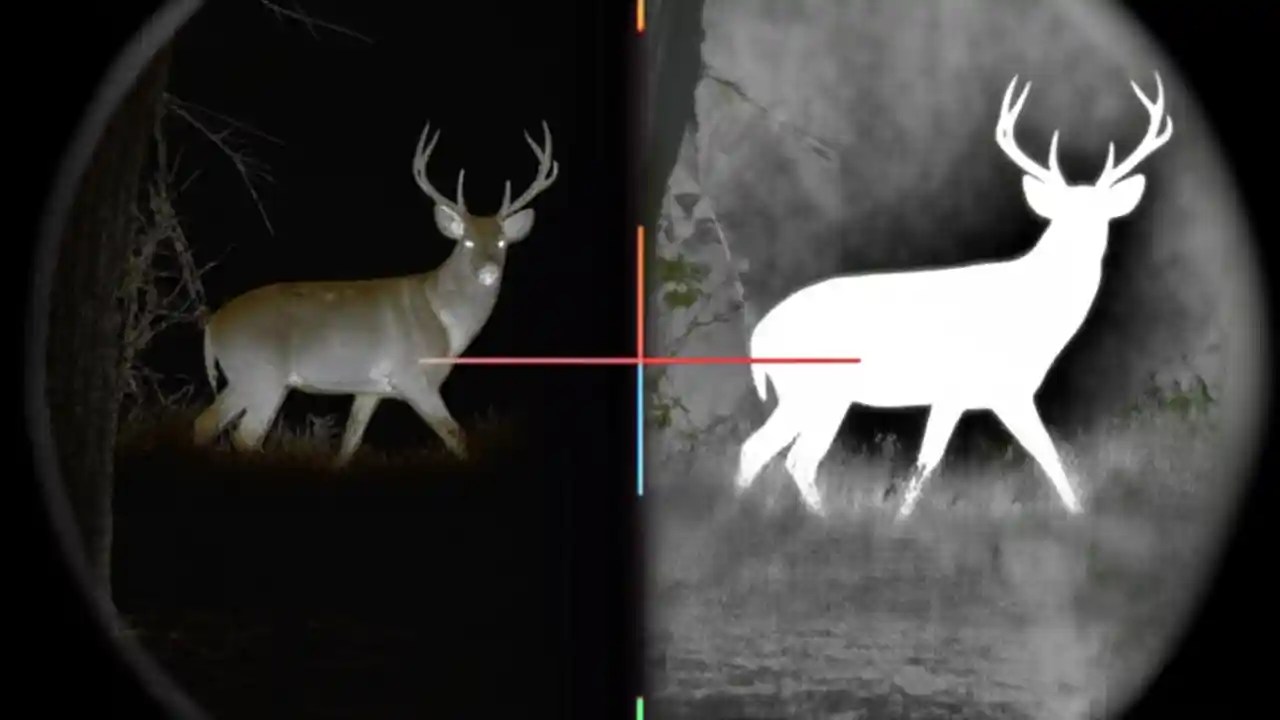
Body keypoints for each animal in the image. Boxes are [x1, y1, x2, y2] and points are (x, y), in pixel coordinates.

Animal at [192, 119, 559, 466]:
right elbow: (456, 436)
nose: (488, 270)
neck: (443, 318)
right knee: (244, 437)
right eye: (466, 241)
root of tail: (213, 325)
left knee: (205, 424)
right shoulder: (414, 377)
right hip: (260, 374)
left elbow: (349, 445)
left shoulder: (369, 390)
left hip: (244, 378)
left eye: (502, 242)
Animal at [734, 73, 1172, 520]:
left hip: (815, 394)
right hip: (814, 388)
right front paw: (900, 522)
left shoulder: (994, 393)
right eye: (1062, 215)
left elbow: (1042, 455)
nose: (1083, 244)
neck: (1034, 311)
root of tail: (759, 335)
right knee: (777, 452)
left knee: (780, 454)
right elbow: (941, 460)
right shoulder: (977, 388)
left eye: (1101, 214)